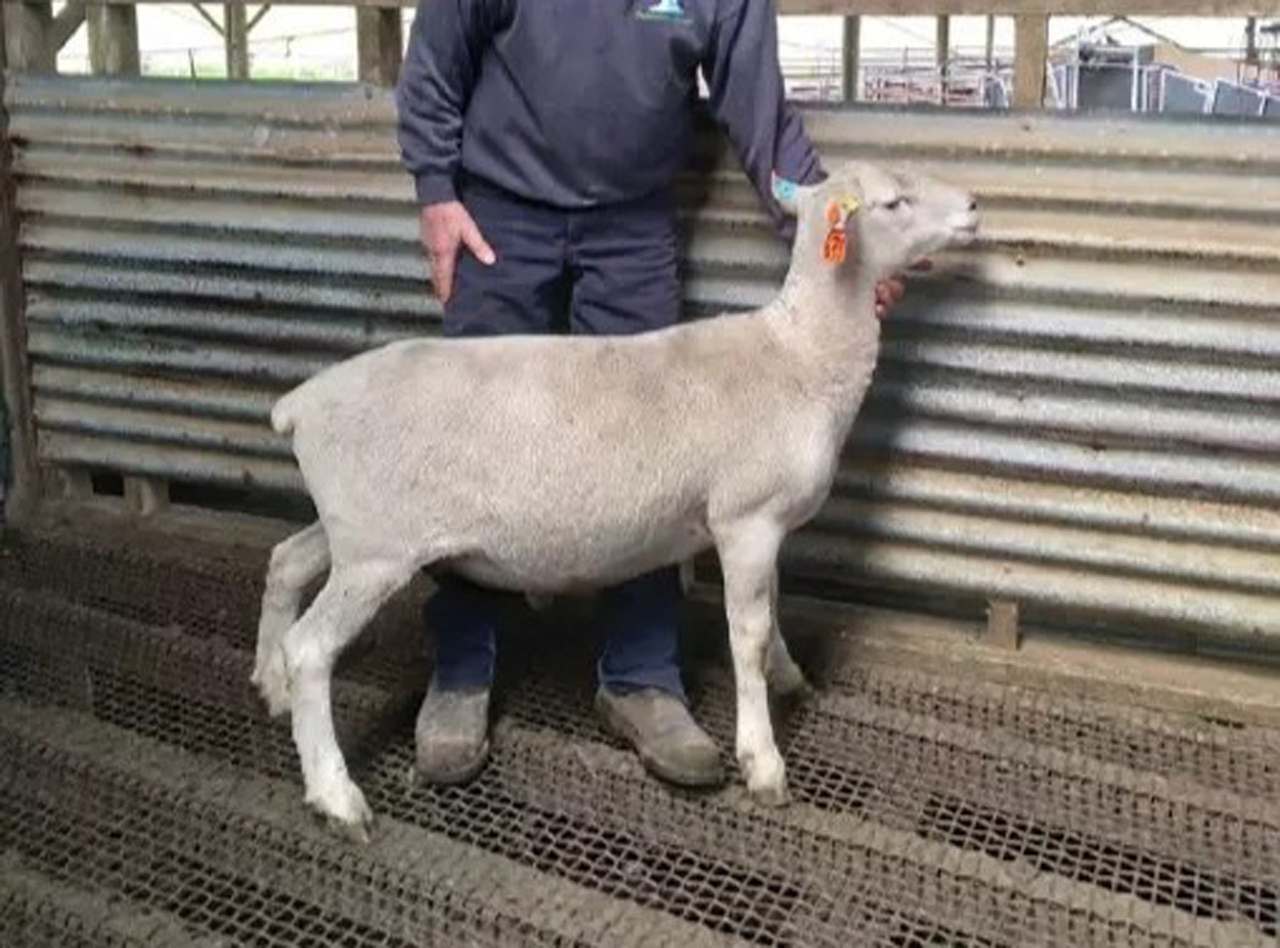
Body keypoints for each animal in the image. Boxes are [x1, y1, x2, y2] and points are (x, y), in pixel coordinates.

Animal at [251, 160, 978, 840]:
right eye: (893, 202)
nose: (974, 205)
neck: (799, 355)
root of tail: (299, 405)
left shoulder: (766, 528)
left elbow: (770, 610)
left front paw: (788, 676)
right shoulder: (745, 519)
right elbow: (746, 633)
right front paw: (764, 761)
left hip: (353, 528)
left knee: (286, 560)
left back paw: (270, 685)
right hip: (376, 549)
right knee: (311, 648)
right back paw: (335, 793)